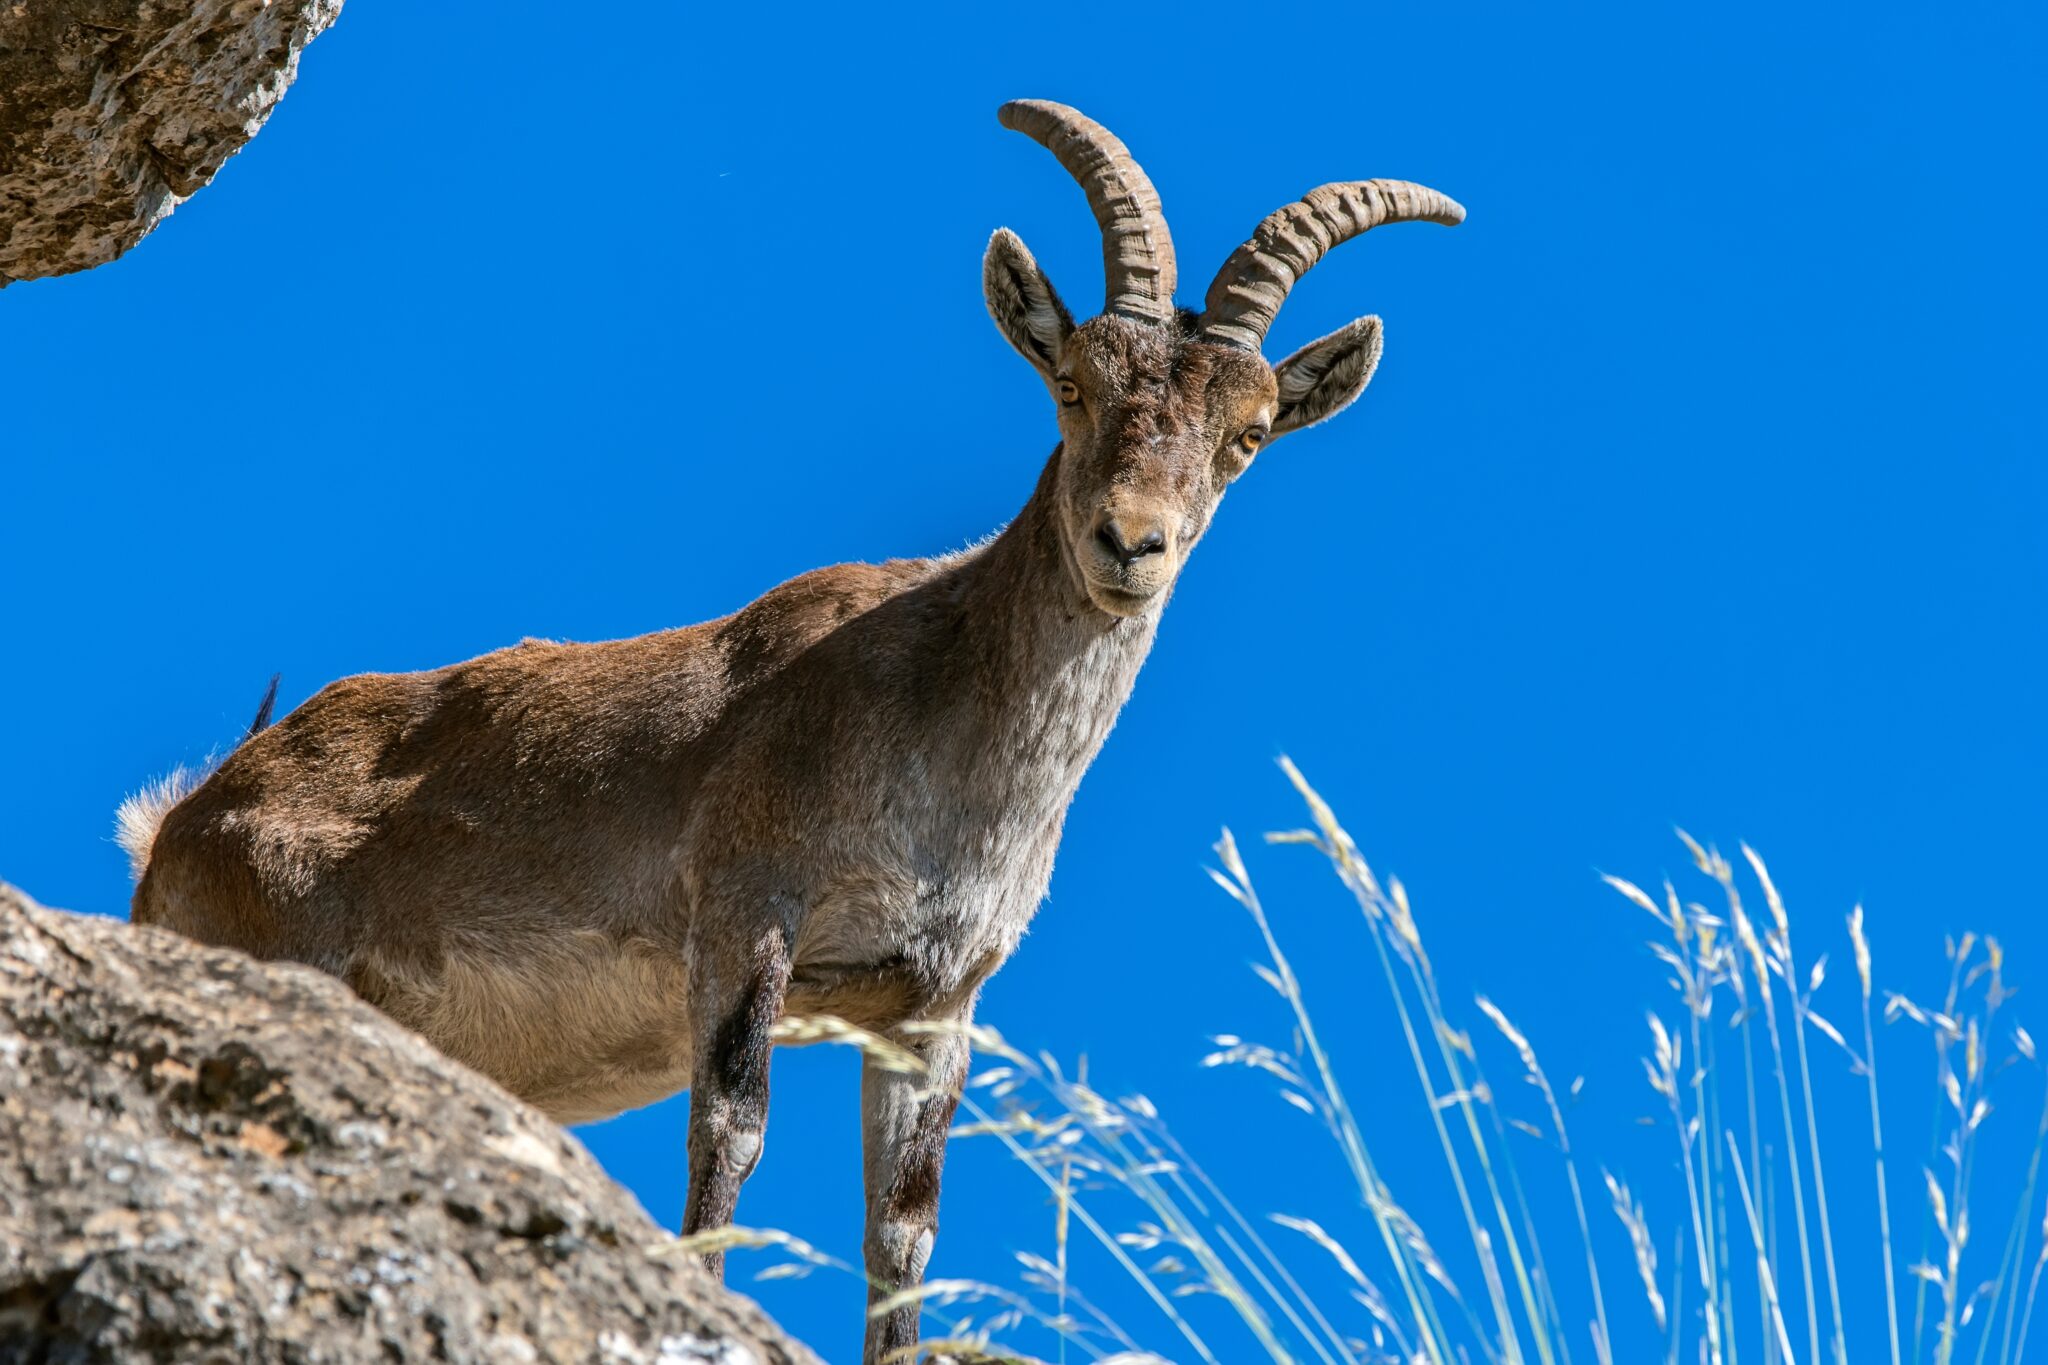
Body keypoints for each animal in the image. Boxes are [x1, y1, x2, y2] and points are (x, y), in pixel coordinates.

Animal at [119, 99, 1462, 1362]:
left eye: (1246, 436)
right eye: (1074, 386)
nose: (1128, 543)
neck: (942, 728)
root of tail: (179, 826)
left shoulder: (934, 1000)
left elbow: (904, 1229)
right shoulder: (743, 916)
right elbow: (730, 1136)